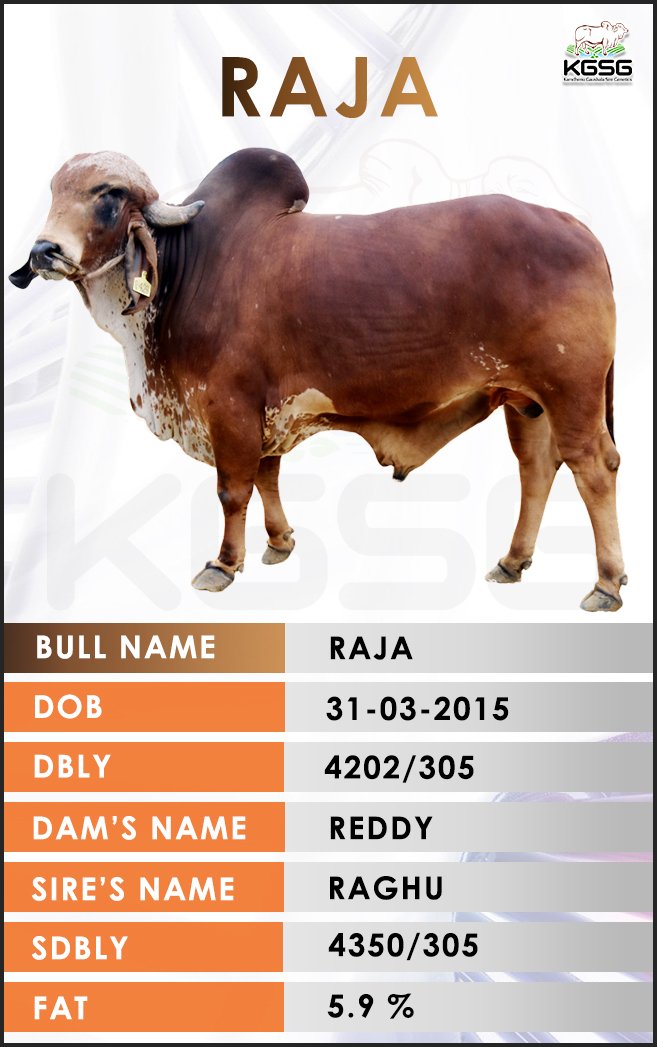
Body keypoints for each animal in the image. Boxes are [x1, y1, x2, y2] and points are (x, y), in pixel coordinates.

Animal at [9, 148, 626, 611]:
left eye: (108, 193)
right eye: (54, 191)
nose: (44, 251)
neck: (185, 274)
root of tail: (579, 227)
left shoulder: (229, 406)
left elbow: (232, 489)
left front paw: (223, 564)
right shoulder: (265, 414)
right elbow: (266, 477)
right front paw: (280, 544)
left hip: (572, 393)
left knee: (594, 468)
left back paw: (606, 583)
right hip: (526, 402)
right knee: (537, 469)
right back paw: (513, 561)